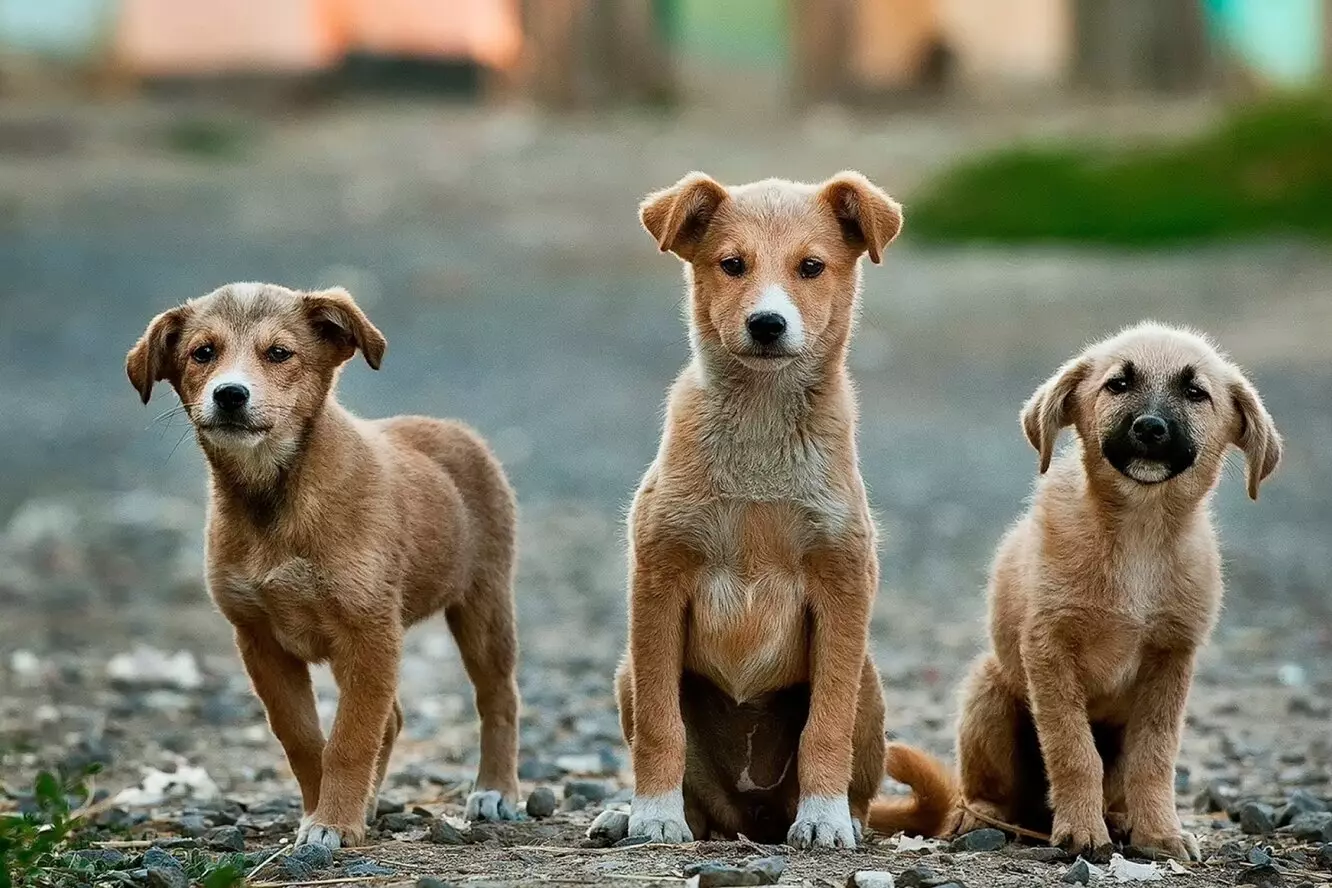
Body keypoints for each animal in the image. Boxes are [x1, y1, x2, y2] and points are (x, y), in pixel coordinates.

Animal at [125, 283, 519, 846]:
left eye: (279, 353)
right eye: (203, 353)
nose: (230, 395)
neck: (275, 499)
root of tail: (453, 428)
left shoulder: (369, 631)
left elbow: (351, 739)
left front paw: (333, 822)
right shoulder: (260, 640)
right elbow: (305, 739)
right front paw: (323, 813)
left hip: (483, 604)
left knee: (498, 698)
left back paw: (495, 790)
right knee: (393, 720)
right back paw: (370, 804)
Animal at [594, 171, 905, 846]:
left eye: (811, 267)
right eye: (732, 264)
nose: (766, 323)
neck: (761, 429)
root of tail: (752, 818)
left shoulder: (843, 585)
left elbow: (826, 726)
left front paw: (823, 819)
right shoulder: (658, 581)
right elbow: (660, 726)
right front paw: (653, 815)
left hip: (869, 682)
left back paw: (842, 817)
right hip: (628, 671)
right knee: (697, 795)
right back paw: (634, 813)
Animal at [879, 320, 1284, 862]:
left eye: (1196, 393)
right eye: (1118, 384)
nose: (1150, 428)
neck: (1138, 534)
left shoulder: (1171, 658)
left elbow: (1155, 758)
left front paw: (1160, 832)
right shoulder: (1049, 650)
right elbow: (1073, 750)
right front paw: (1080, 831)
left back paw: (1120, 818)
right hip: (989, 692)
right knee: (988, 790)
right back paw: (983, 817)